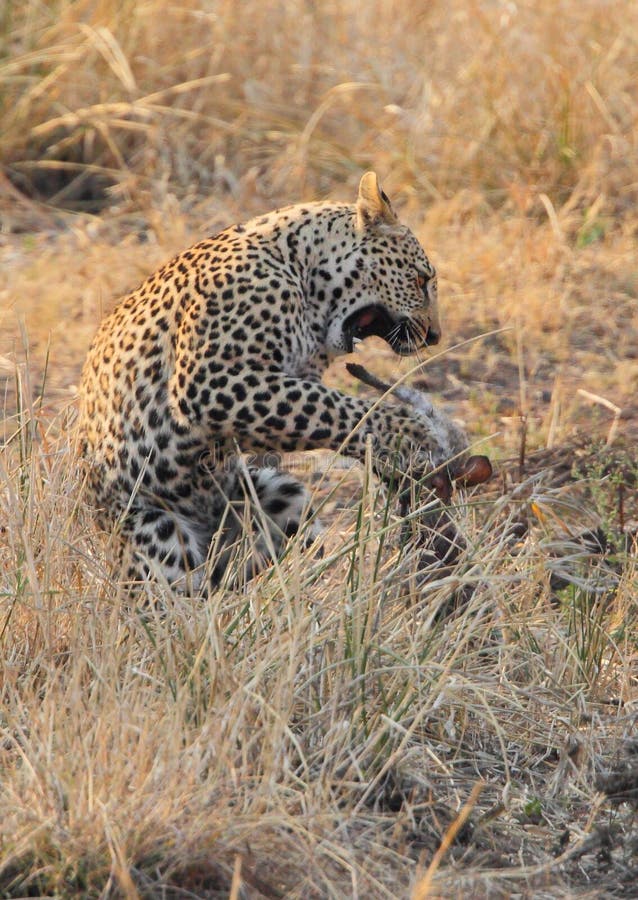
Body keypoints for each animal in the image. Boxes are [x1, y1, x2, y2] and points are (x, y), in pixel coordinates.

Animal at [78, 172, 446, 592]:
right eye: (420, 279)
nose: (435, 335)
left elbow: (317, 413)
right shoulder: (210, 381)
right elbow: (330, 406)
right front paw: (410, 433)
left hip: (279, 496)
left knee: (232, 572)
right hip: (156, 535)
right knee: (169, 598)